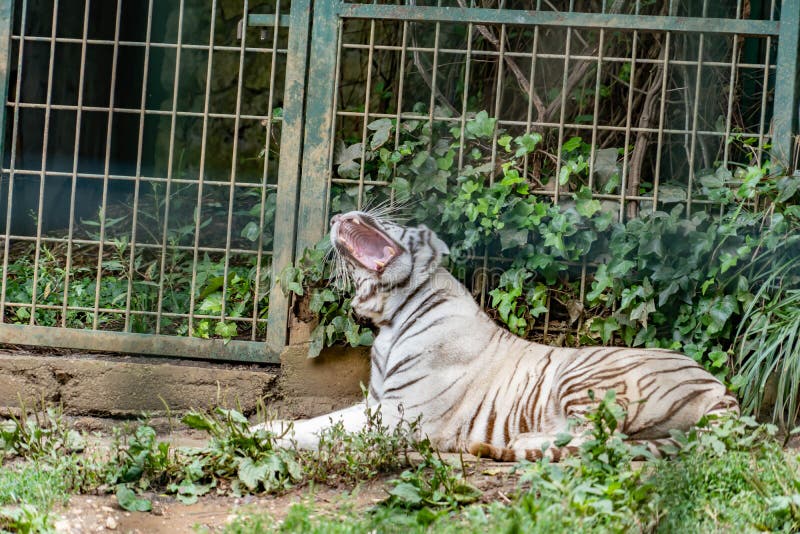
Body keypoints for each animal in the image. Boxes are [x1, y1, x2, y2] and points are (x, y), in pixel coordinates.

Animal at [262, 210, 739, 461]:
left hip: (588, 378)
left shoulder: (400, 413)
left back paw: (519, 441)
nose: (338, 215)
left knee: (598, 436)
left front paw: (260, 432)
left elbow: (323, 428)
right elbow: (324, 420)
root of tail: (717, 386)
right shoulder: (379, 402)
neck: (392, 319)